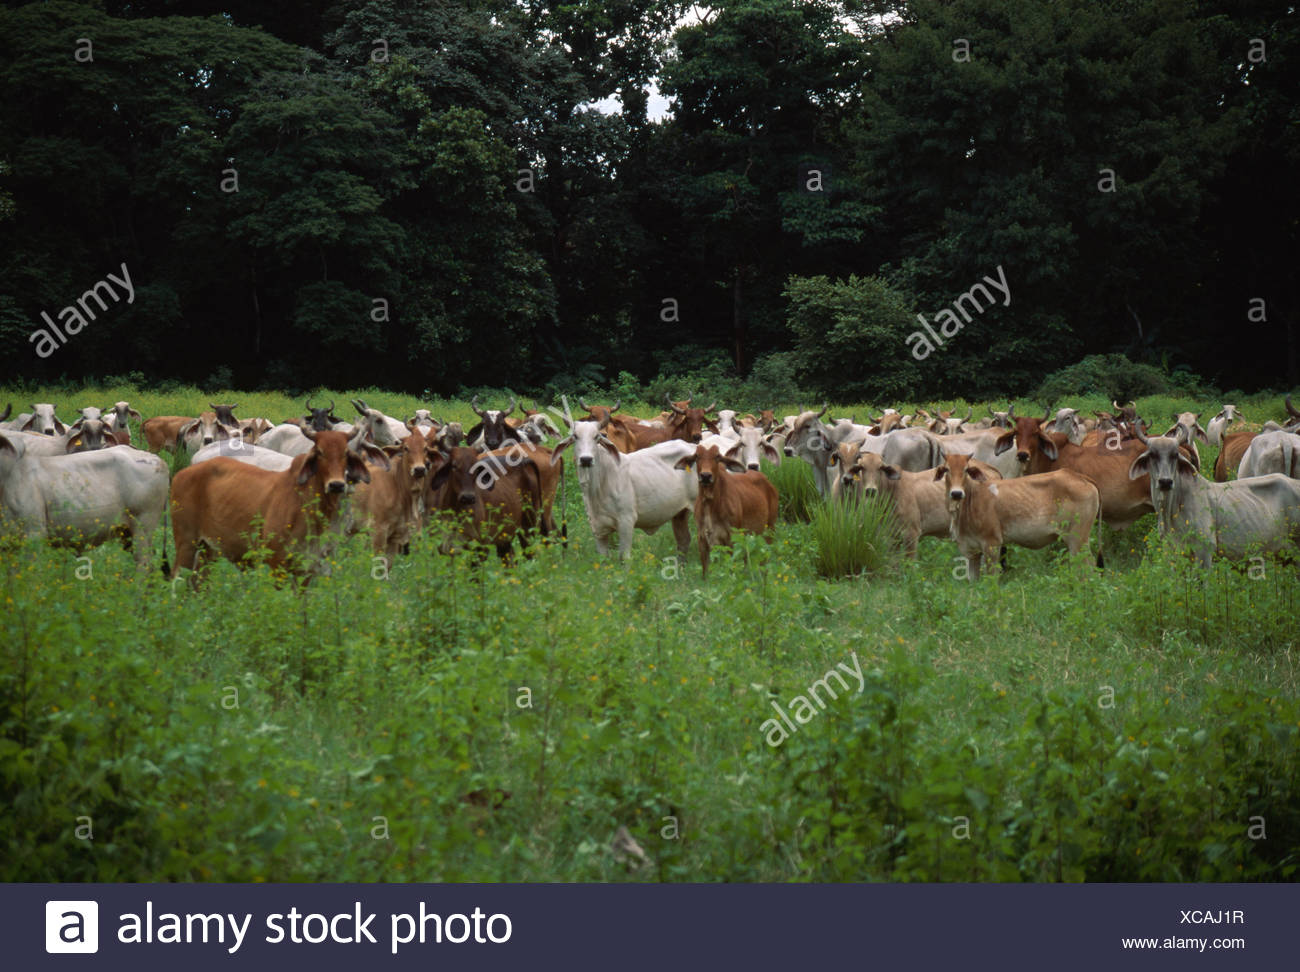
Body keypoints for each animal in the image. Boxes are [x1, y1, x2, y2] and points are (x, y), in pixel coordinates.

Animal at [550, 416, 697, 559]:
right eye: (575, 436)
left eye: (597, 437)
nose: (586, 459)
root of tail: (693, 447)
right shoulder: (598, 529)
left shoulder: (626, 522)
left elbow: (623, 558)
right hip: (680, 513)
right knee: (684, 542)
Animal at [673, 444, 777, 578]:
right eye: (697, 456)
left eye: (717, 456)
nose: (706, 476)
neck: (710, 505)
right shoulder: (702, 539)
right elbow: (705, 572)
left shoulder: (731, 538)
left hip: (770, 529)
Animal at [939, 453, 1100, 580]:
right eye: (946, 469)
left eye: (966, 470)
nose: (956, 493)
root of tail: (1078, 476)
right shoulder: (972, 551)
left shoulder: (992, 544)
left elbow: (992, 578)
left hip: (1077, 539)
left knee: (1087, 564)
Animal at [1129, 433, 1300, 567]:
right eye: (1152, 454)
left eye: (1175, 455)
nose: (1165, 482)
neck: (1171, 510)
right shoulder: (1172, 552)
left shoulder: (1204, 551)